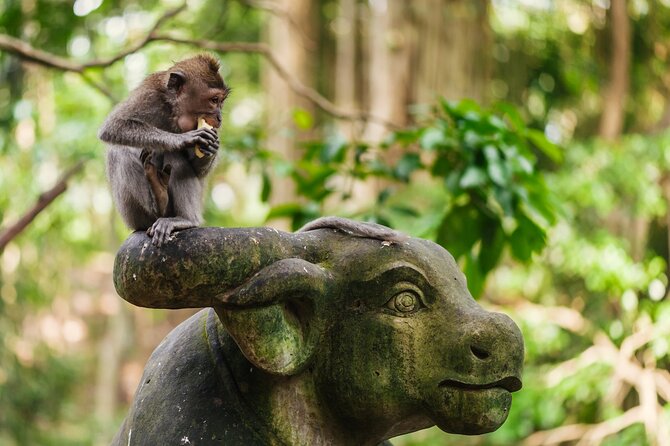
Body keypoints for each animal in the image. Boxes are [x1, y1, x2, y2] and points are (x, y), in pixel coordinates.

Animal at [99, 54, 230, 247]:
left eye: (221, 102)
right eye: (214, 100)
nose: (219, 118)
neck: (173, 111)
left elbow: (198, 170)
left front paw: (211, 148)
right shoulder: (148, 96)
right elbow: (113, 126)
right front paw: (181, 139)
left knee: (174, 157)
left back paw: (184, 218)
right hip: (134, 217)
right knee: (119, 150)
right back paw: (158, 200)